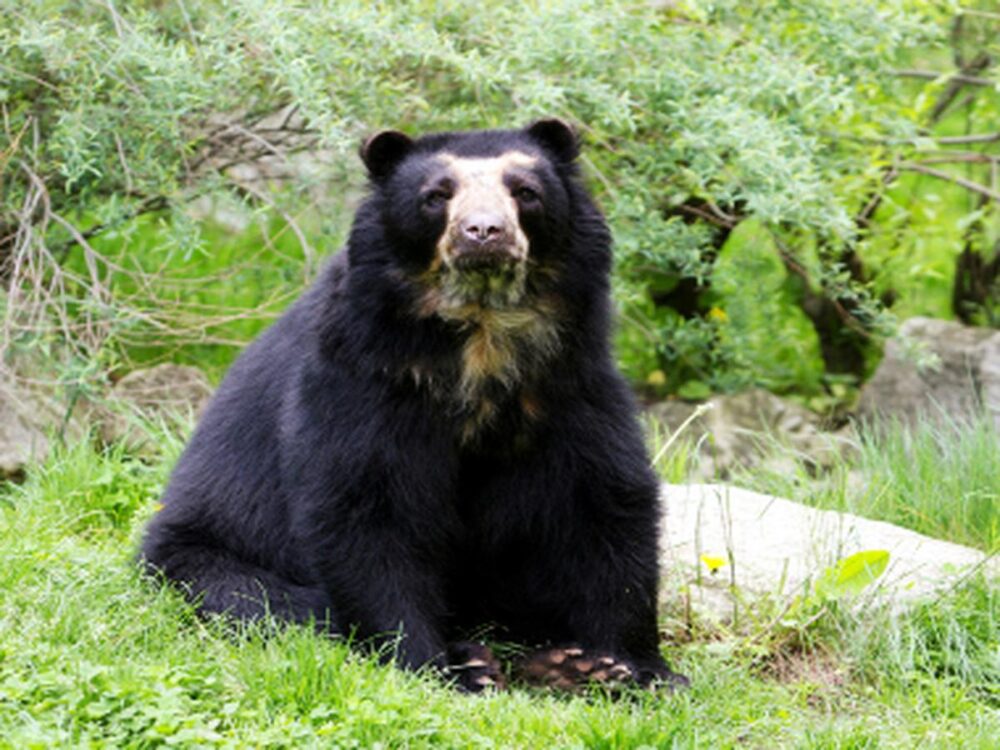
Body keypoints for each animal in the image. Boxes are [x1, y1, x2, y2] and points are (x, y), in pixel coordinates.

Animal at [140, 119, 688, 693]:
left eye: (525, 192)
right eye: (436, 196)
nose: (484, 232)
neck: (481, 336)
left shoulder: (568, 380)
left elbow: (600, 503)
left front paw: (628, 666)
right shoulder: (363, 379)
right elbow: (367, 505)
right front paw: (437, 666)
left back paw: (558, 665)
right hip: (203, 557)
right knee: (270, 602)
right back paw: (476, 656)